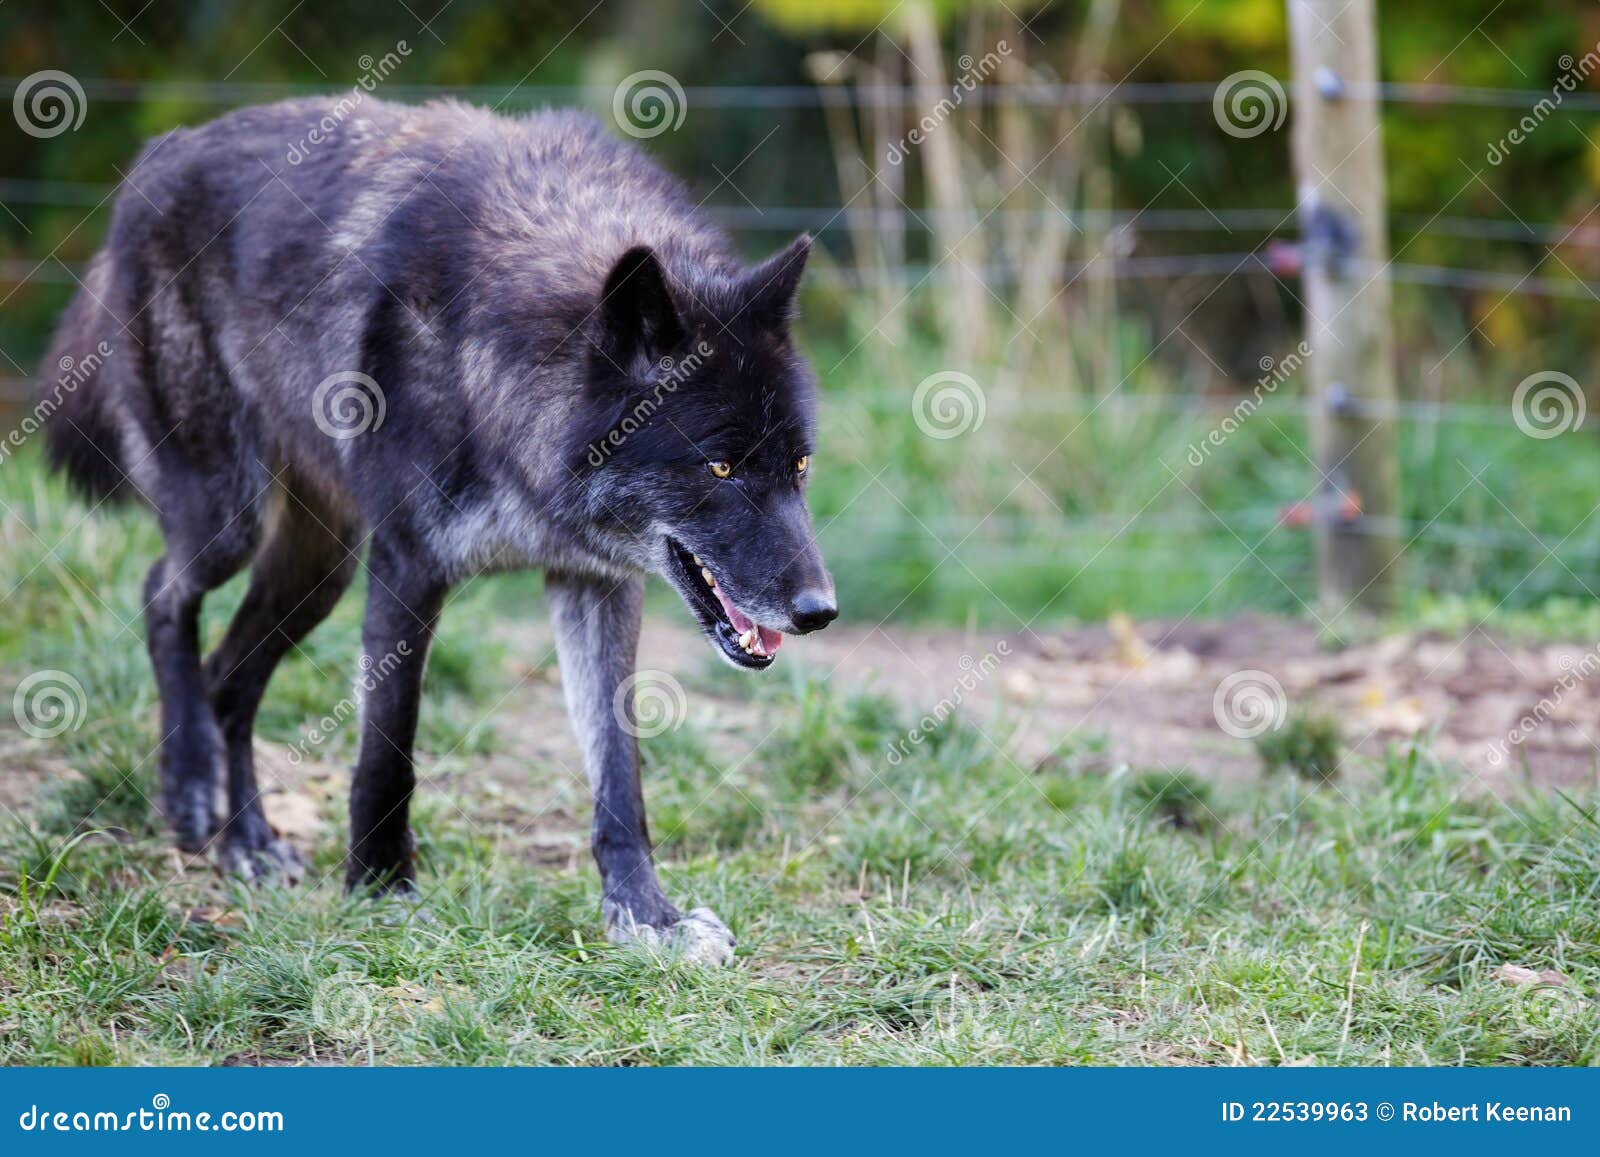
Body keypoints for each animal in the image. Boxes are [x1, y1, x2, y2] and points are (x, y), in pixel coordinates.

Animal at [40, 95, 837, 963]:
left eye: (799, 465)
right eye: (719, 468)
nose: (820, 611)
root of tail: (160, 153)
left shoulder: (596, 582)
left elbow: (618, 767)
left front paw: (645, 914)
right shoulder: (408, 565)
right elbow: (388, 746)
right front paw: (380, 887)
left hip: (320, 565)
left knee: (229, 673)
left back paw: (245, 840)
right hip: (231, 517)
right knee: (162, 595)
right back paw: (190, 786)